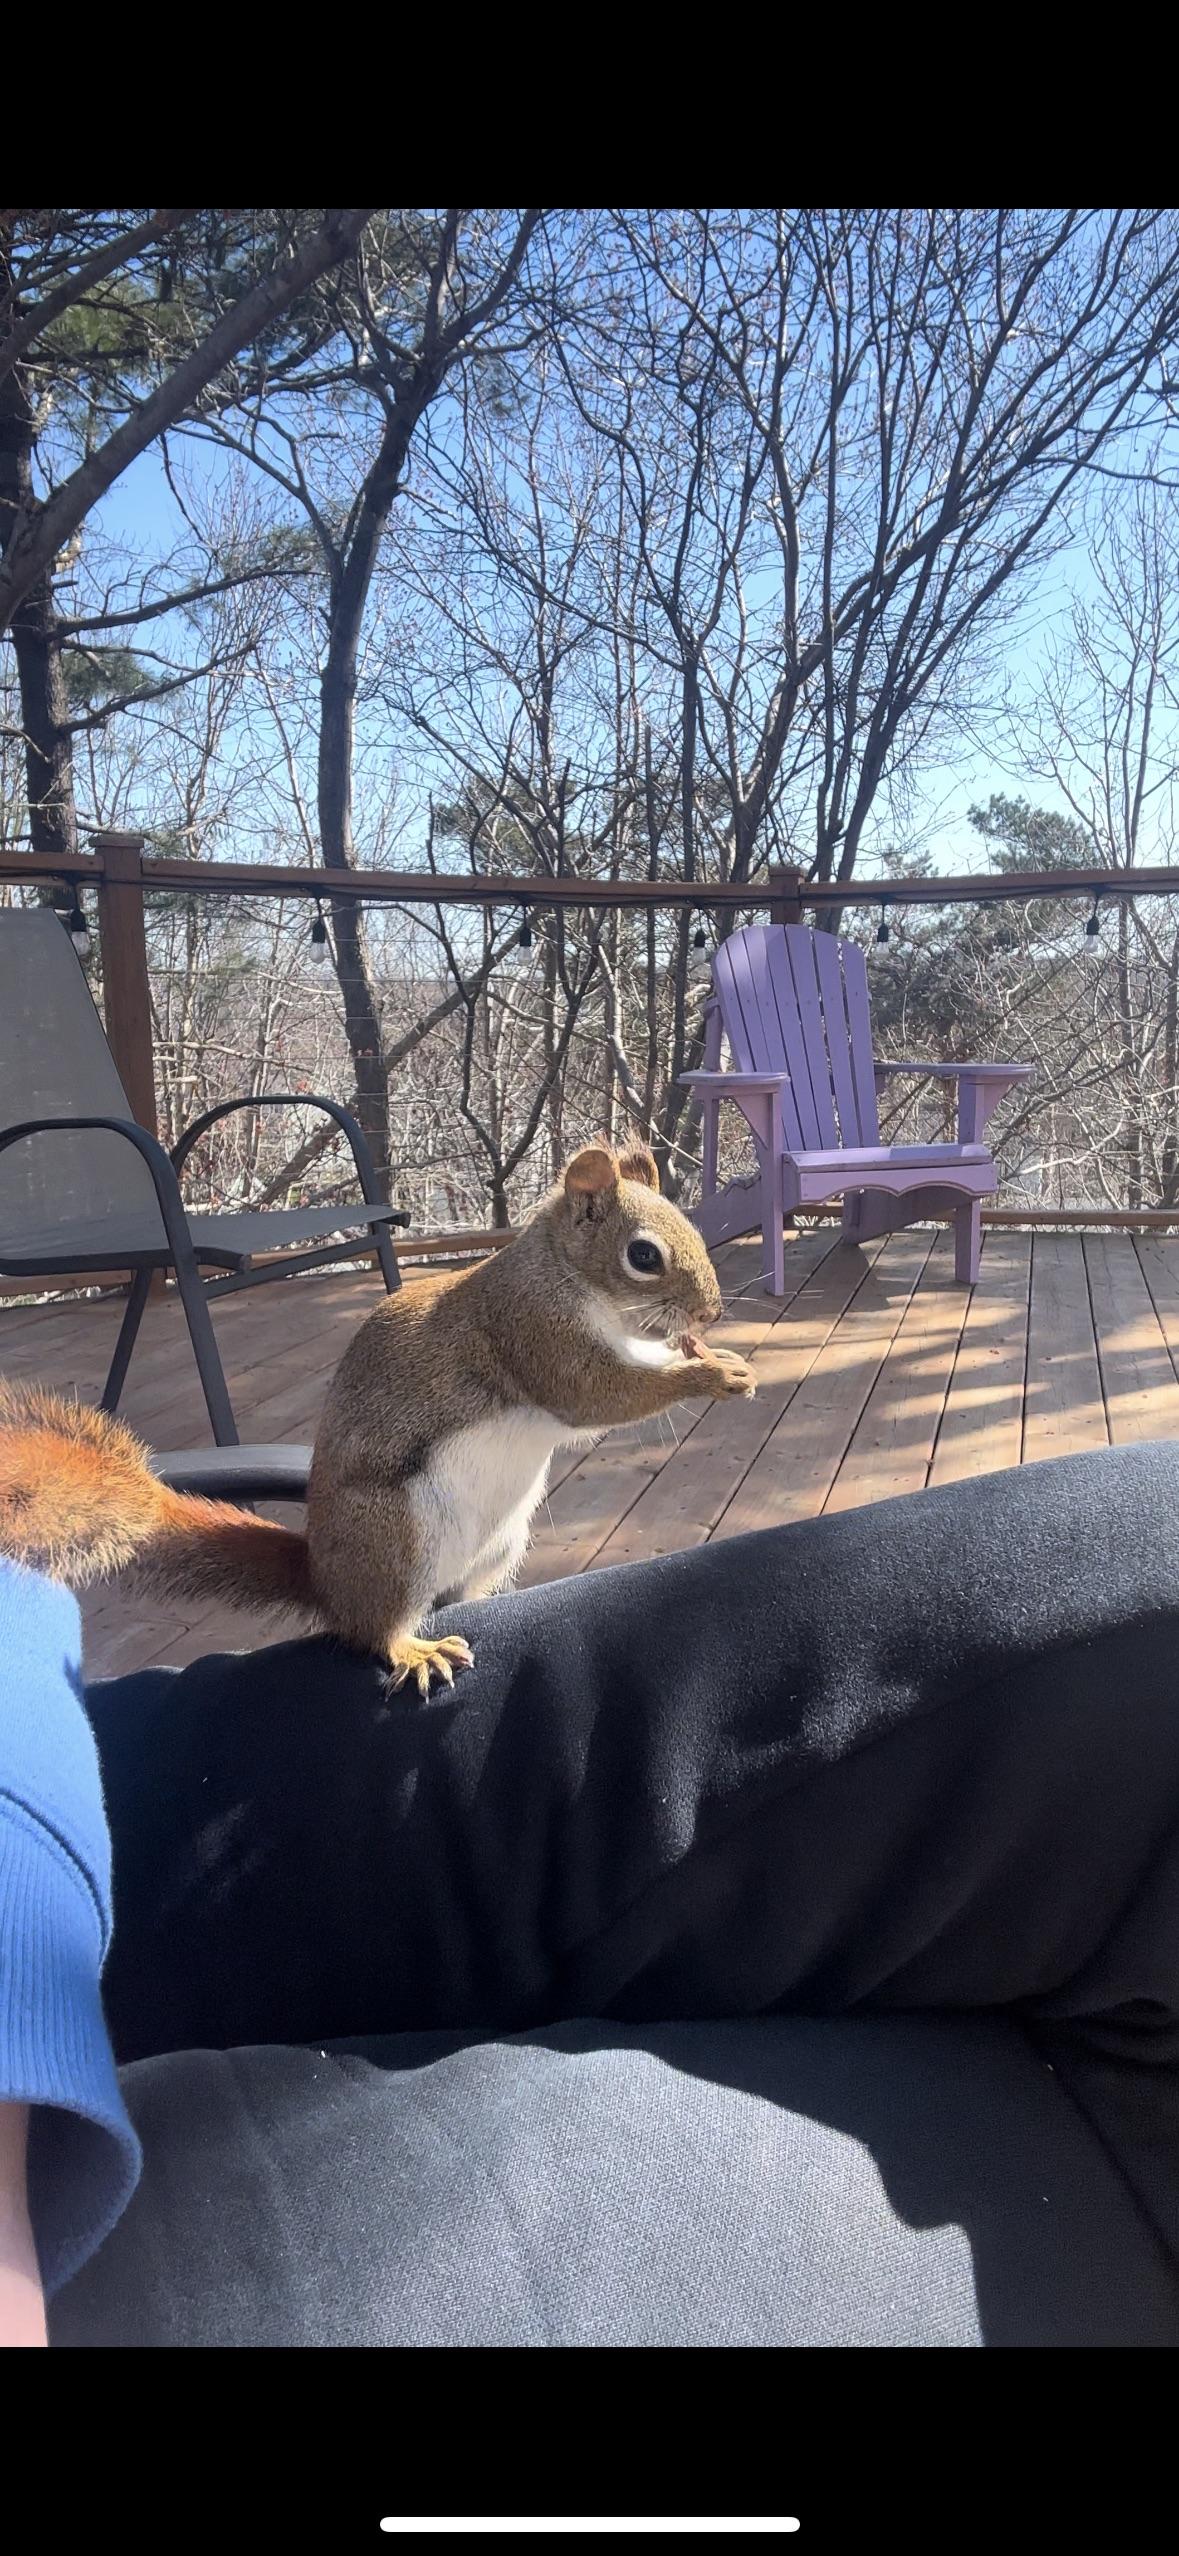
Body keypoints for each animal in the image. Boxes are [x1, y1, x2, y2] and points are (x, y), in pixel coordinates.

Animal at [0, 1142, 756, 1694]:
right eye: (643, 1256)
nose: (711, 1311)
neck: (566, 1276)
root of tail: (325, 1581)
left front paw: (716, 1354)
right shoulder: (530, 1330)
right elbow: (595, 1396)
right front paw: (711, 1374)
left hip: (499, 1544)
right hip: (396, 1537)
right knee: (374, 1630)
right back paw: (411, 1648)